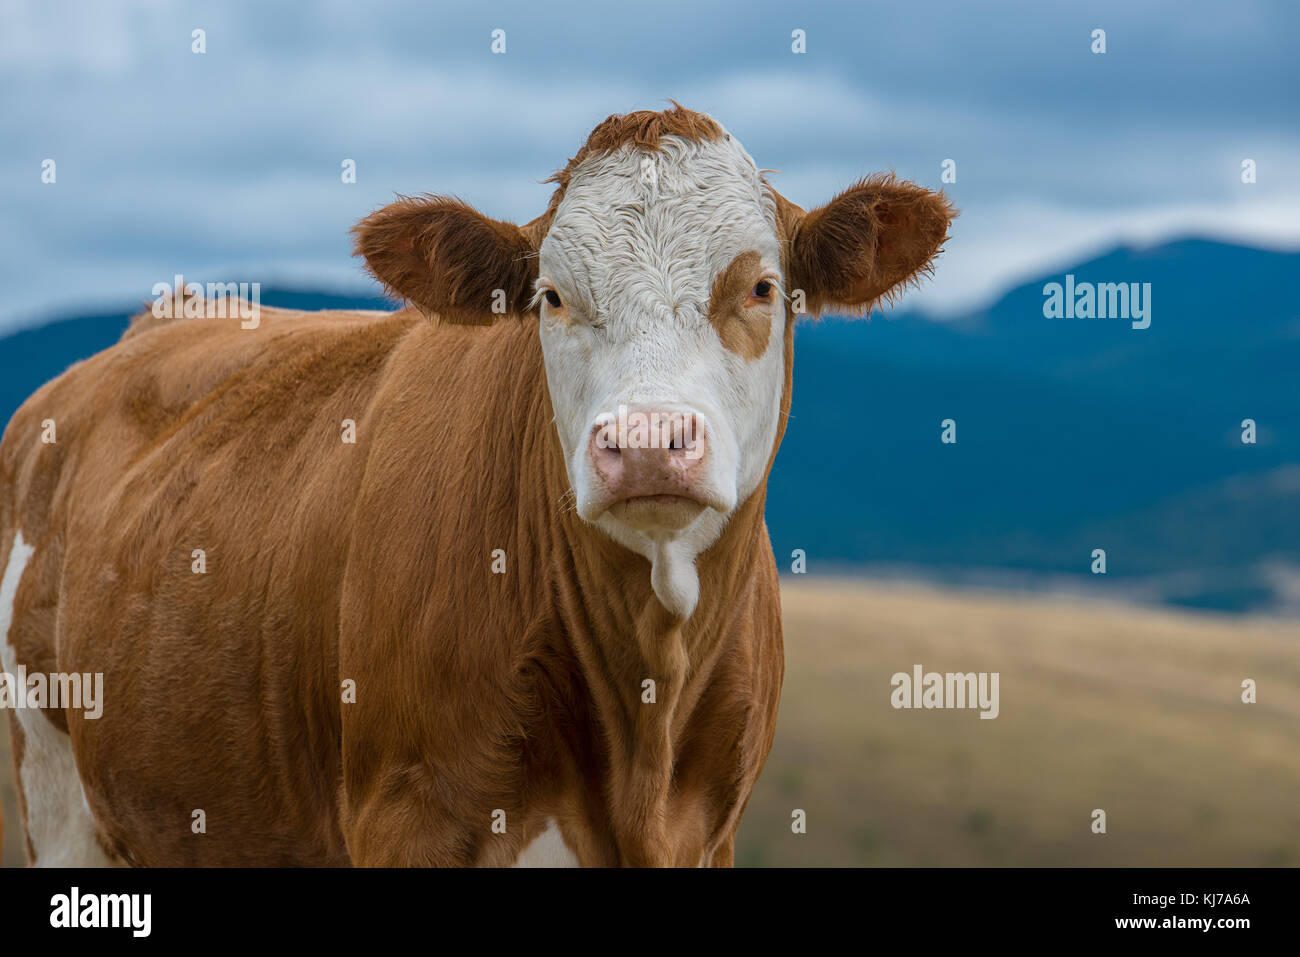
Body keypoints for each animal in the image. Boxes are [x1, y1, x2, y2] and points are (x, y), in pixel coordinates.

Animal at [0, 105, 953, 866]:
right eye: (553, 297)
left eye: (759, 286)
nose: (647, 443)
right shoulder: (407, 812)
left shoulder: (710, 830)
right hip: (55, 789)